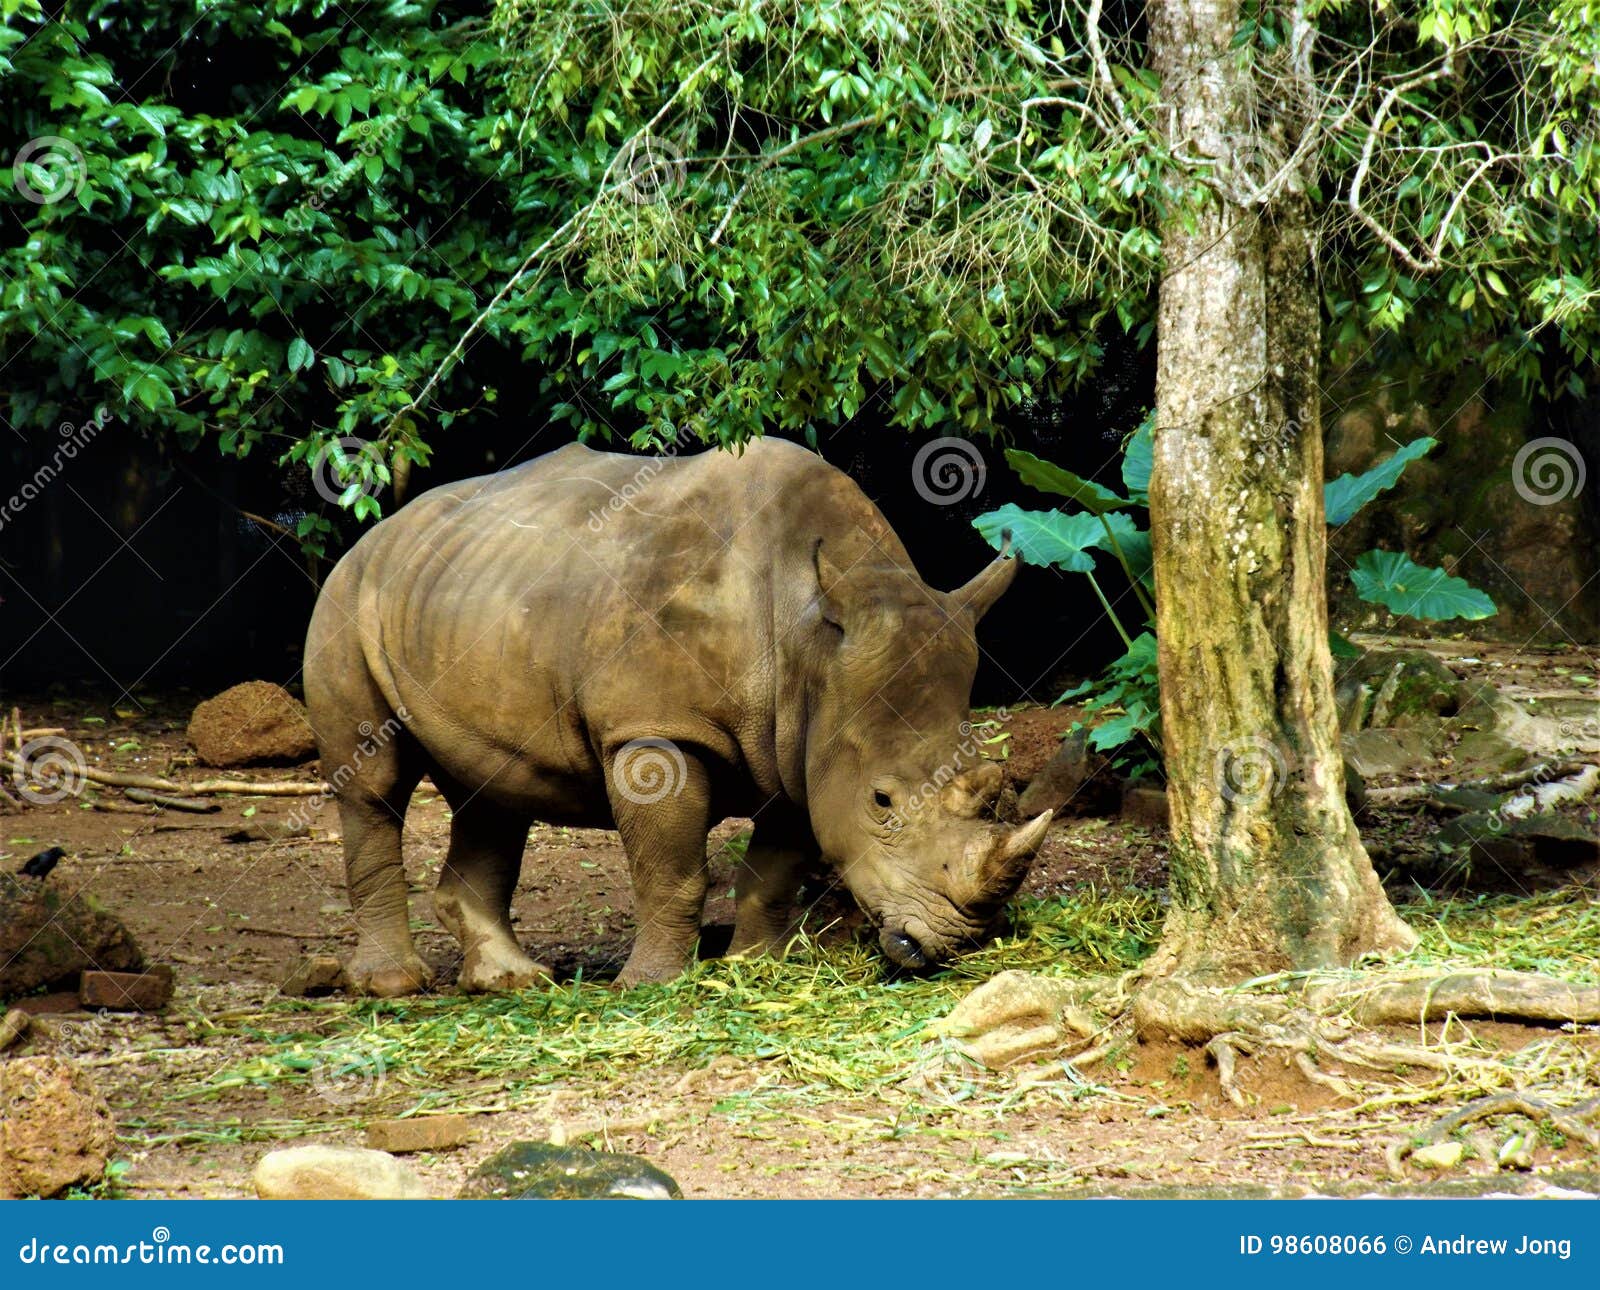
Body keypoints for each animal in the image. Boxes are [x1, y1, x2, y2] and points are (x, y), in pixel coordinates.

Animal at [303, 438, 1050, 996]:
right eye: (882, 800)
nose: (950, 941)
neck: (809, 639)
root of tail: (382, 526)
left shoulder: (801, 742)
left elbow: (774, 867)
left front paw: (753, 966)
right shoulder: (653, 728)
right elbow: (673, 869)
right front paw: (654, 985)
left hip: (466, 597)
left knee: (492, 792)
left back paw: (512, 982)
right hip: (346, 594)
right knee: (374, 783)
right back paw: (394, 985)